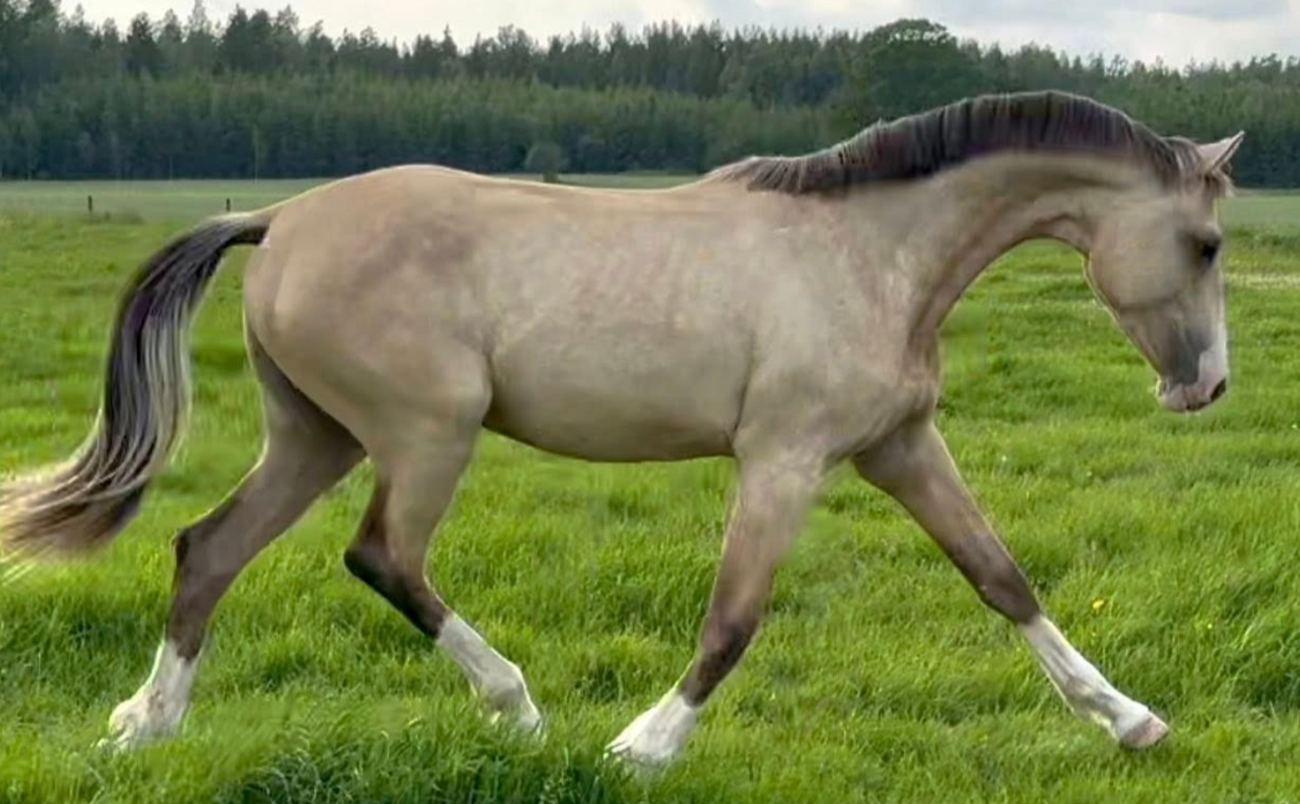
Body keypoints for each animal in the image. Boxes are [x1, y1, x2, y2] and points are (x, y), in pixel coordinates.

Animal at [0, 91, 1243, 766]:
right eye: (1206, 244)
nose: (1207, 389)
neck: (869, 257)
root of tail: (279, 218)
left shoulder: (898, 448)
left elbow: (1002, 578)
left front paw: (1131, 723)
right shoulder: (782, 460)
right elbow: (733, 618)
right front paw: (644, 745)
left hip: (316, 435)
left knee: (205, 548)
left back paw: (145, 724)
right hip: (425, 433)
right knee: (382, 556)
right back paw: (517, 707)